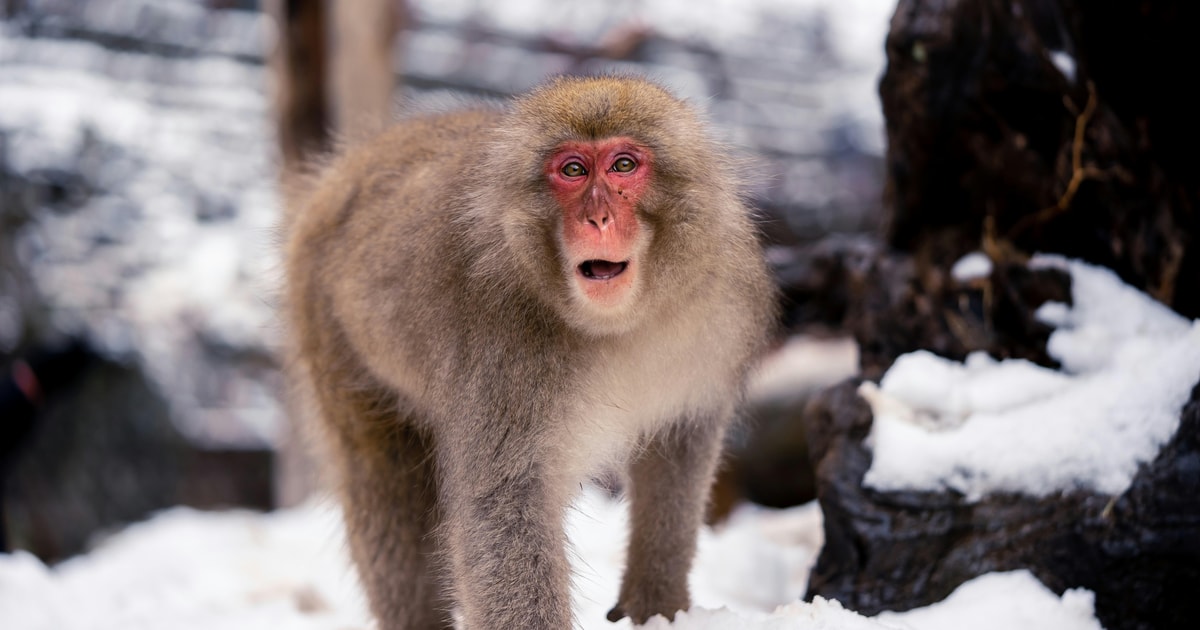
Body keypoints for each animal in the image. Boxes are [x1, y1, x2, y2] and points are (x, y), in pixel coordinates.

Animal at [282, 75, 777, 629]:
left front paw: (657, 605)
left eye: (624, 165)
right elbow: (505, 504)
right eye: (573, 170)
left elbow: (682, 451)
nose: (599, 216)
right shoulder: (506, 344)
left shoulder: (721, 312)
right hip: (327, 326)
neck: (617, 326)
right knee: (380, 477)